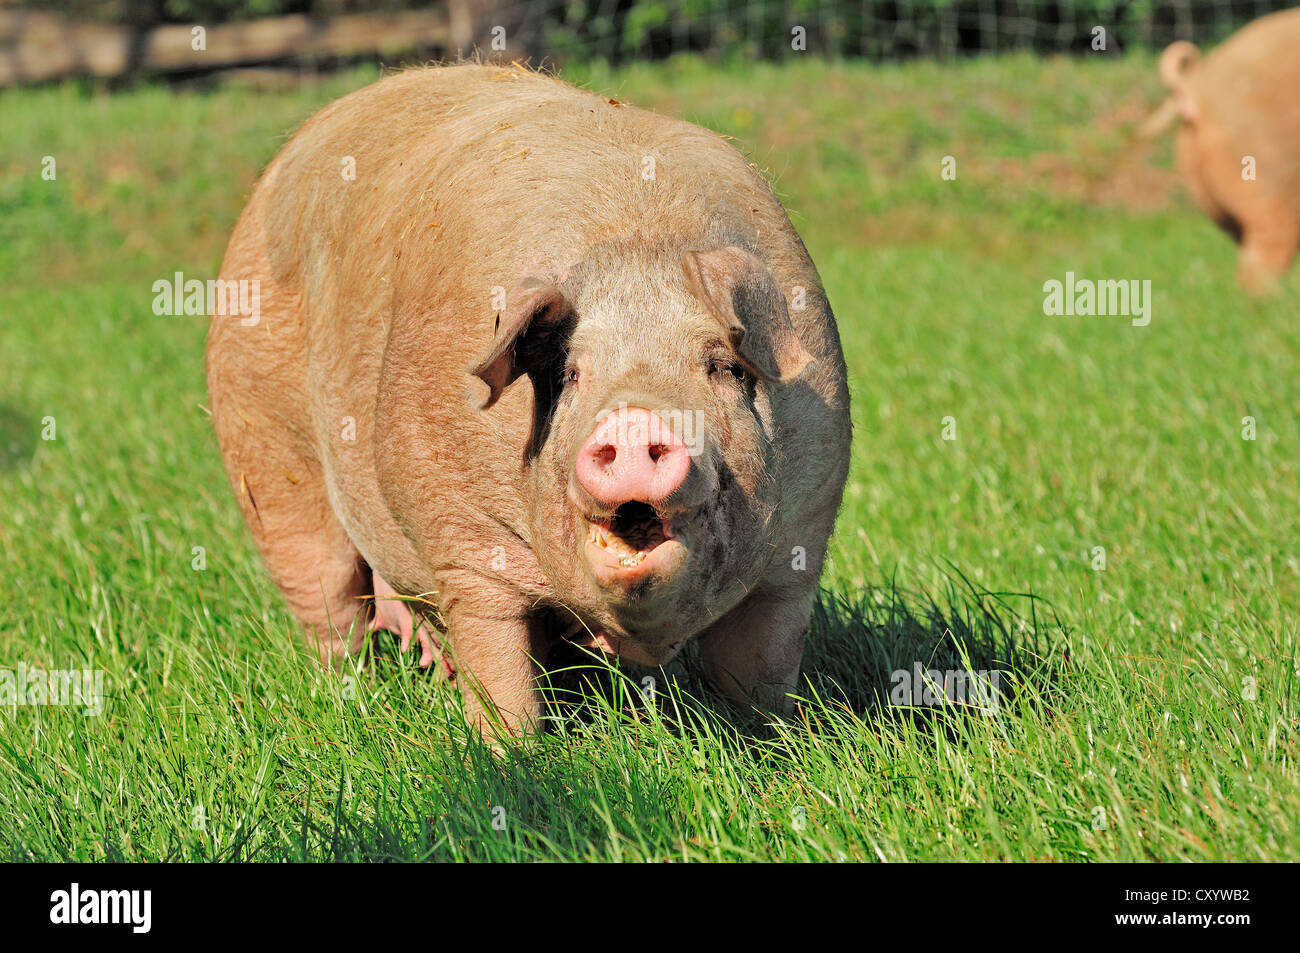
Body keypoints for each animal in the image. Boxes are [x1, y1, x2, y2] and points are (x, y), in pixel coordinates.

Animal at [206, 63, 851, 735]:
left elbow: (759, 668)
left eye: (721, 367)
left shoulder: (803, 537)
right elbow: (500, 672)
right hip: (267, 442)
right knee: (329, 604)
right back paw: (349, 698)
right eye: (570, 374)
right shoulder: (464, 541)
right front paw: (509, 751)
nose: (631, 421)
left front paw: (773, 741)